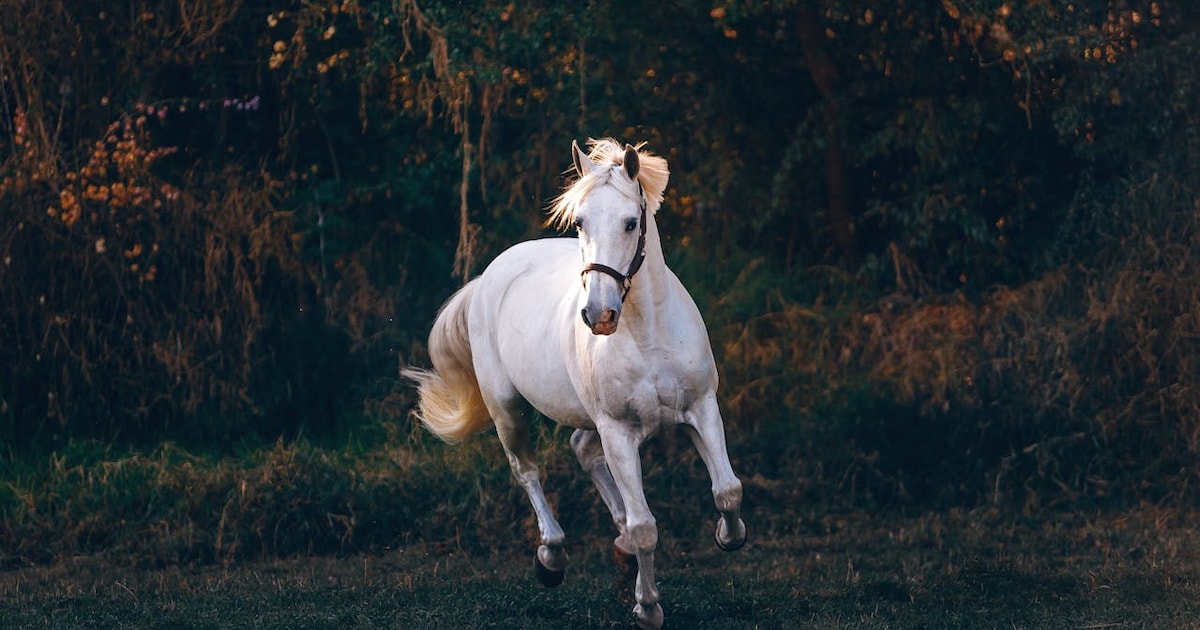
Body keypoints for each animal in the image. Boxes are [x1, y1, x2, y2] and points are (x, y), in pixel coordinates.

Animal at [402, 138, 746, 629]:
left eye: (631, 222)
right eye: (580, 222)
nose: (598, 315)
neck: (648, 333)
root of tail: (489, 276)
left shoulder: (701, 408)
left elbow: (727, 491)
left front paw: (725, 536)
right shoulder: (618, 432)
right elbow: (645, 526)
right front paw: (648, 608)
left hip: (587, 417)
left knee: (582, 450)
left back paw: (618, 552)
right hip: (507, 407)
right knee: (527, 470)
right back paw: (551, 557)